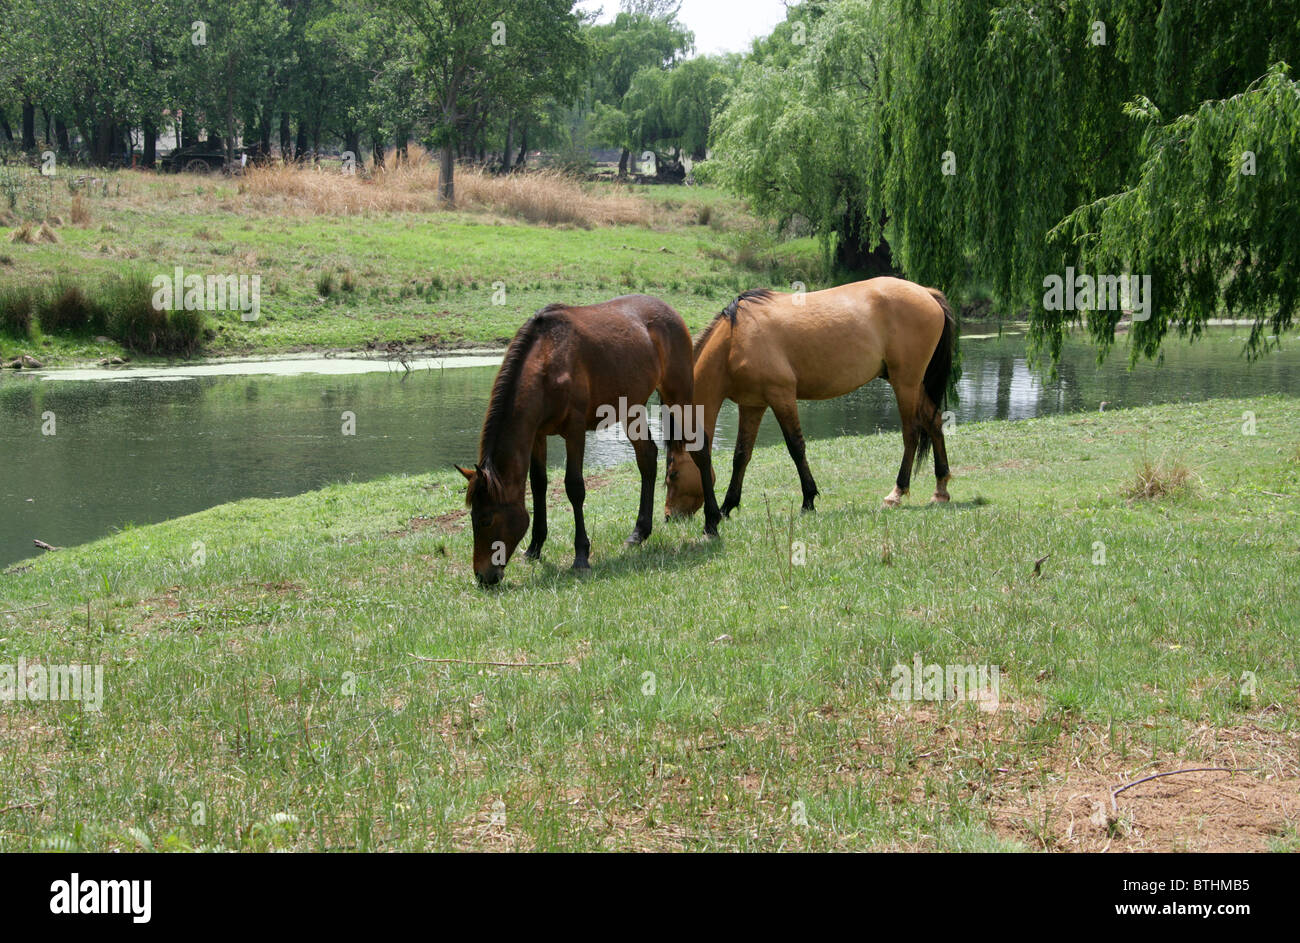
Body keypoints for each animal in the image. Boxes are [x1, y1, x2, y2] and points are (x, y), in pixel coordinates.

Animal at [458, 295, 722, 586]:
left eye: (486, 519)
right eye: (472, 517)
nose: (483, 575)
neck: (547, 359)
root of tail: (670, 311)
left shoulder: (574, 431)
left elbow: (574, 487)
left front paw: (581, 555)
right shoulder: (537, 434)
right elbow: (538, 485)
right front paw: (535, 547)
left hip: (679, 396)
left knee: (700, 449)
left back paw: (712, 522)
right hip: (632, 408)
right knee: (647, 458)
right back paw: (639, 532)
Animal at [664, 277, 957, 519]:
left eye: (672, 474)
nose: (669, 516)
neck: (735, 339)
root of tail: (927, 293)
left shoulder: (781, 395)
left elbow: (796, 447)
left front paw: (808, 500)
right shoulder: (752, 404)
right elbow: (741, 455)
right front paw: (727, 506)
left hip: (905, 382)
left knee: (911, 433)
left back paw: (896, 493)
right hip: (911, 383)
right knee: (934, 423)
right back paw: (940, 490)